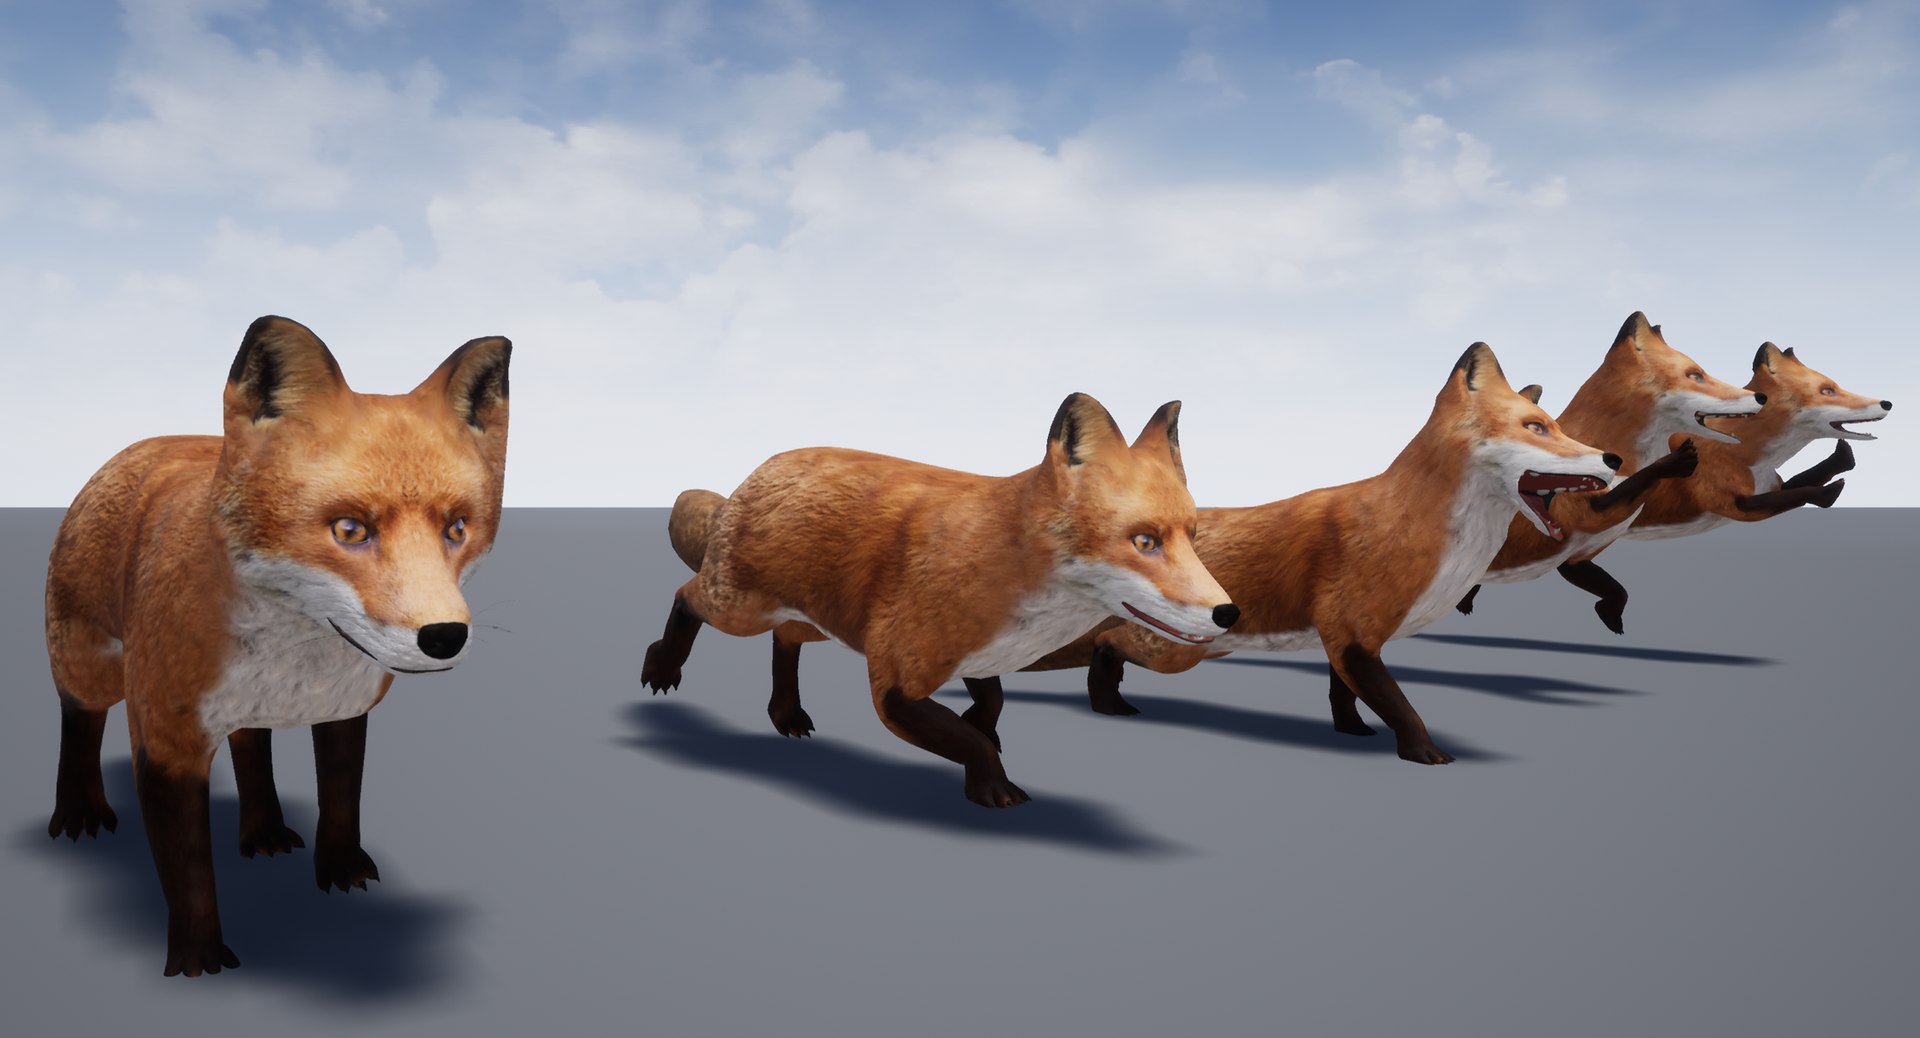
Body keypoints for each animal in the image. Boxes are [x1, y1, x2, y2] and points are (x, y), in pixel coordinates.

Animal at [42, 316, 511, 977]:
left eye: (457, 529)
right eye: (350, 530)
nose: (444, 637)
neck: (294, 666)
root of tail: (139, 445)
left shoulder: (344, 710)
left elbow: (340, 797)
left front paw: (339, 869)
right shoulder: (167, 741)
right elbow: (188, 871)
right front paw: (197, 957)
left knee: (249, 746)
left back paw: (262, 831)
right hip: (87, 667)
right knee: (78, 724)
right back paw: (79, 812)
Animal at [641, 393, 1238, 807]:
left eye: (1192, 535)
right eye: (1145, 542)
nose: (1228, 613)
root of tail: (762, 466)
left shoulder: (979, 655)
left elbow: (990, 705)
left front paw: (982, 724)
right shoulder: (896, 681)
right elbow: (964, 739)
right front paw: (992, 784)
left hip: (820, 616)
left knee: (784, 642)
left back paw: (785, 712)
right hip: (738, 607)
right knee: (685, 597)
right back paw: (662, 664)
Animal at [1014, 344, 1619, 765]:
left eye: (1558, 426)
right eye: (1536, 427)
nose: (1611, 457)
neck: (1421, 531)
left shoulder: (1342, 638)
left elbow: (1343, 695)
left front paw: (1352, 732)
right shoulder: (1351, 631)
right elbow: (1400, 704)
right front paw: (1423, 753)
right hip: (1178, 653)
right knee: (1108, 645)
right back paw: (1108, 703)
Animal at [1454, 312, 1766, 632]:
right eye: (1696, 375)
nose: (1761, 397)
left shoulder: (1576, 560)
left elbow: (1618, 591)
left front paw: (1611, 617)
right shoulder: (1578, 513)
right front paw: (1674, 462)